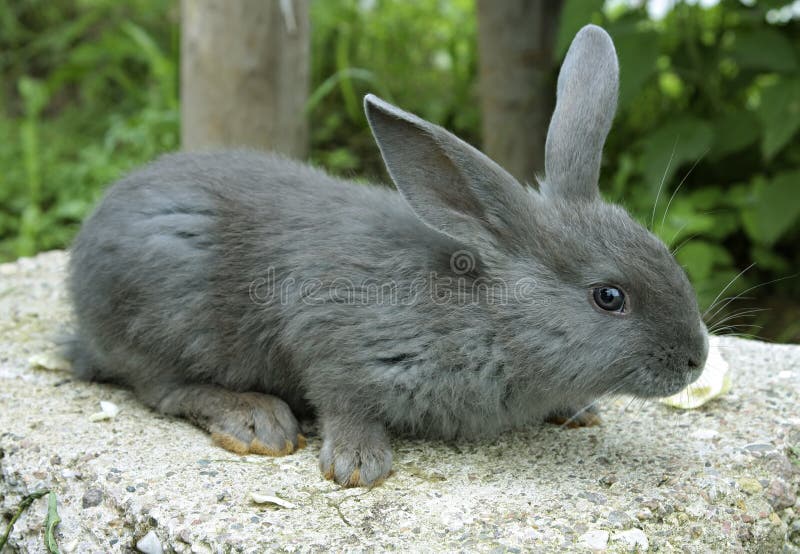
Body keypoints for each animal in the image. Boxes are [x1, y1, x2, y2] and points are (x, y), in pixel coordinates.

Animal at [66, 24, 709, 487]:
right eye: (609, 296)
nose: (697, 360)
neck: (489, 316)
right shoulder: (334, 340)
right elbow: (342, 397)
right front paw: (358, 464)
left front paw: (579, 410)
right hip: (167, 314)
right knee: (161, 387)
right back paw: (257, 422)